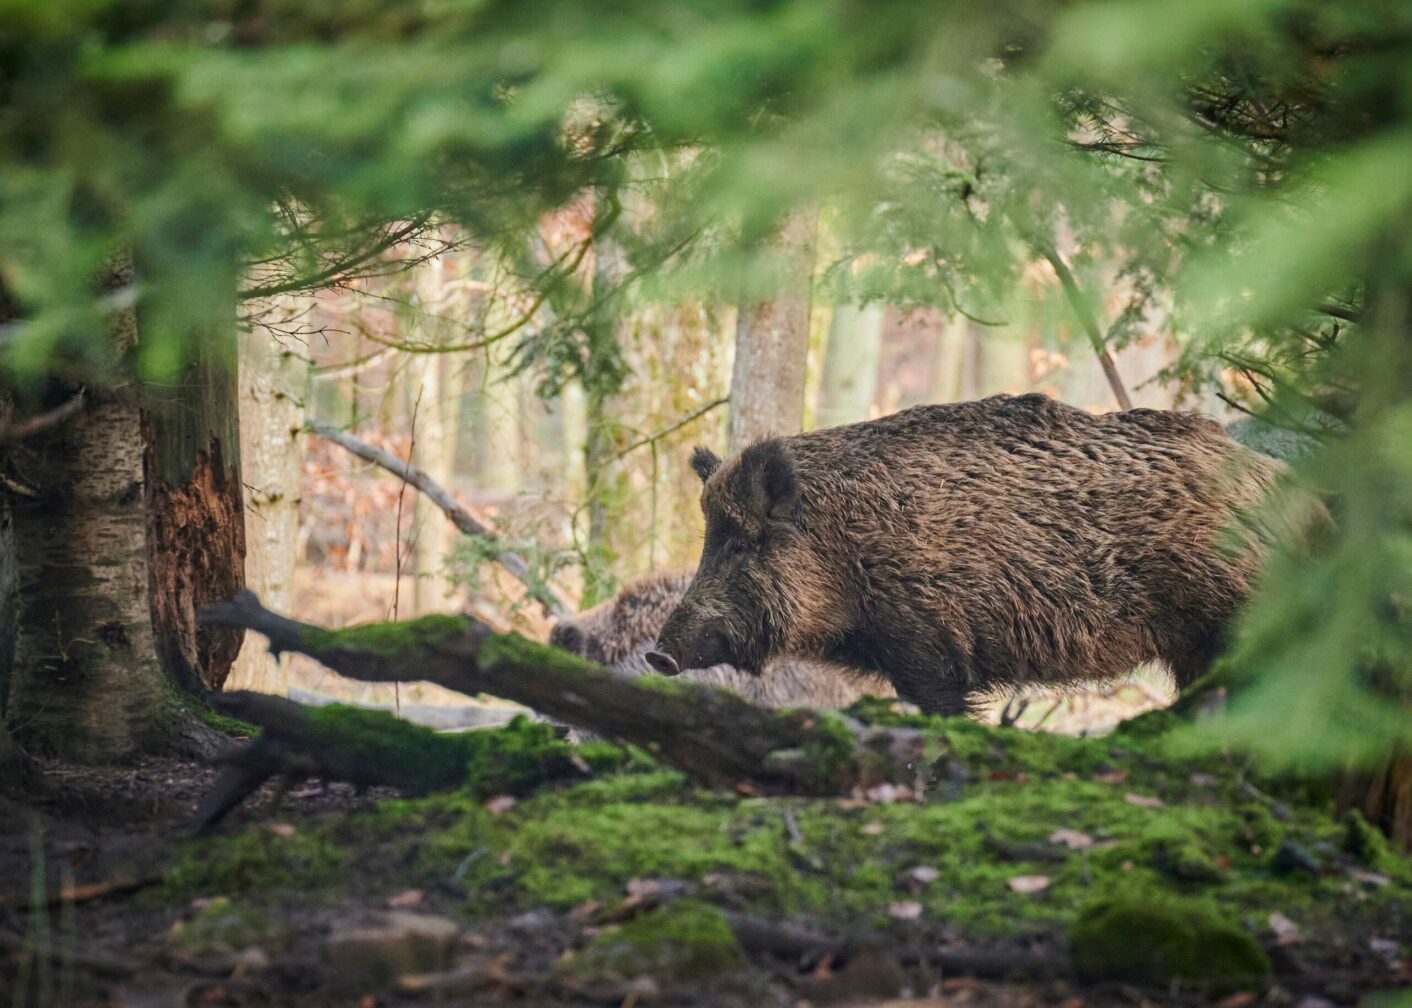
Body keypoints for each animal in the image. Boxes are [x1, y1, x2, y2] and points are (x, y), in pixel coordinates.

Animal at [649, 393, 1299, 716]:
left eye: (739, 543)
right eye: (709, 539)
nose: (658, 654)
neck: (844, 550)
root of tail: (1296, 492)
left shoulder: (927, 644)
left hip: (1234, 621)